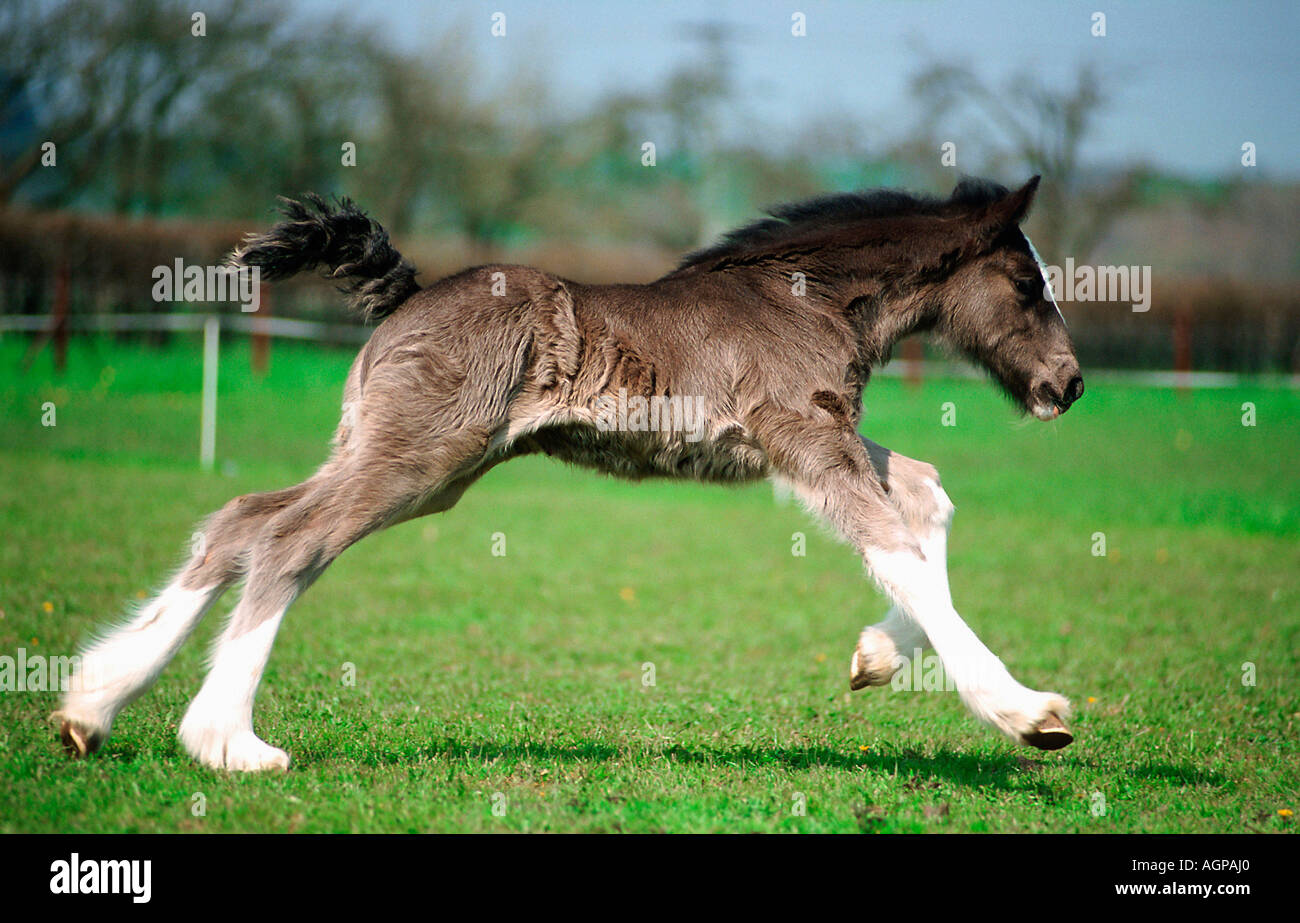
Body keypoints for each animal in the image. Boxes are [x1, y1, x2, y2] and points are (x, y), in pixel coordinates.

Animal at [54, 176, 1084, 770]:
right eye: (1026, 285)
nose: (1067, 384)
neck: (809, 297)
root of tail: (411, 294)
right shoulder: (803, 439)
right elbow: (897, 543)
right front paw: (1026, 710)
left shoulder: (815, 441)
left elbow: (926, 499)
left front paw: (875, 656)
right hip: (419, 460)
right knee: (287, 538)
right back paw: (225, 742)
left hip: (402, 457)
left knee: (240, 517)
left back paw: (92, 704)